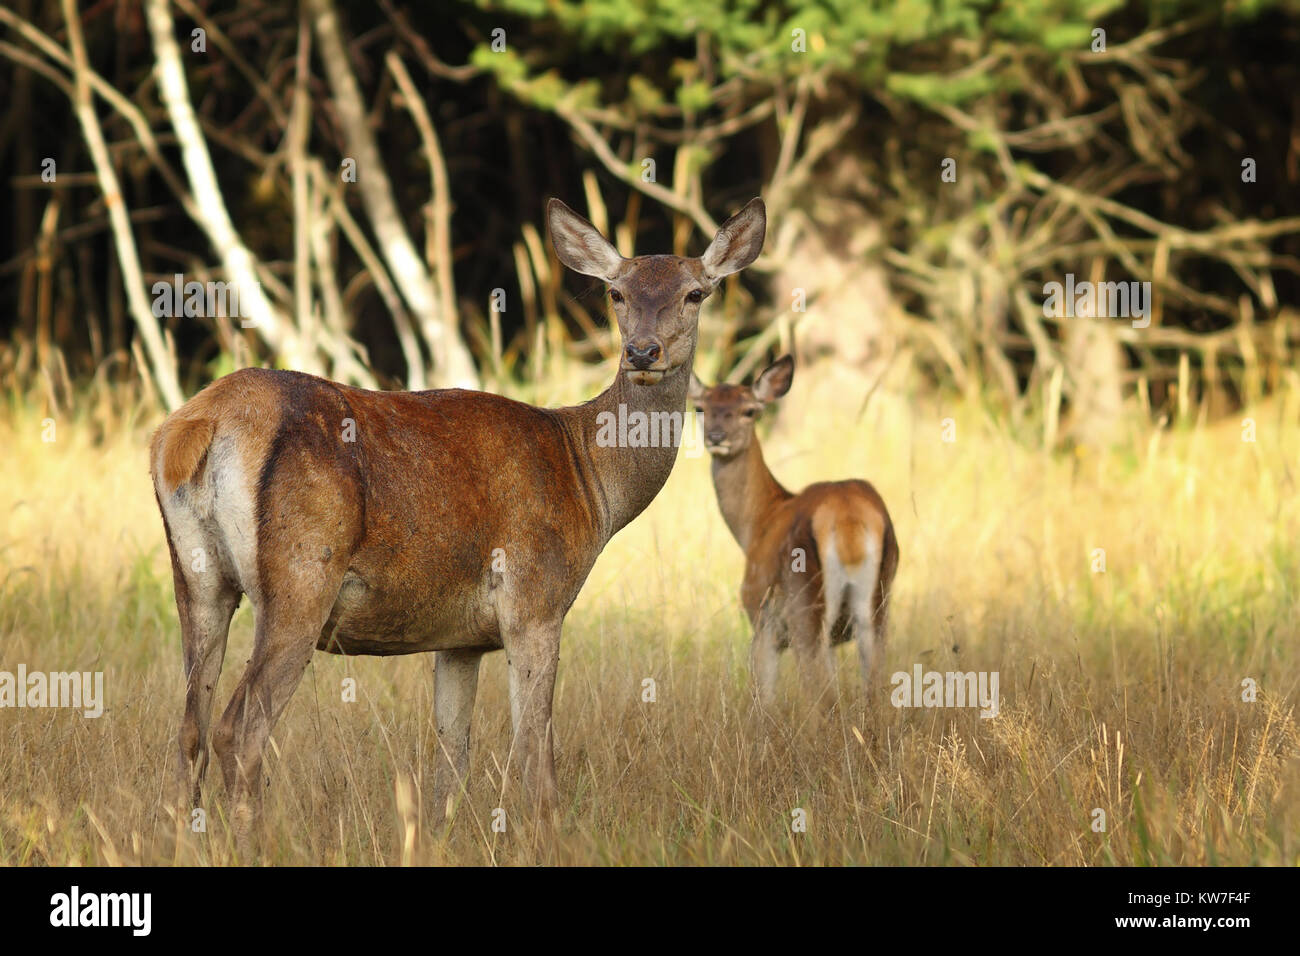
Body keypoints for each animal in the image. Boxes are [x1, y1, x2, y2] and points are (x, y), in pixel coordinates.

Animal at [150, 196, 767, 839]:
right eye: (615, 293)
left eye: (696, 292)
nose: (643, 352)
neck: (590, 483)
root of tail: (198, 426)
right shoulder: (535, 599)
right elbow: (535, 757)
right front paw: (545, 836)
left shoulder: (459, 640)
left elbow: (451, 761)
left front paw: (435, 838)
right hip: (301, 577)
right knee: (238, 728)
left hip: (197, 578)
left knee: (189, 728)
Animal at [688, 355, 898, 707]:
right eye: (701, 408)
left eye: (750, 410)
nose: (717, 436)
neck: (757, 525)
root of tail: (848, 521)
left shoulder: (760, 619)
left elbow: (764, 699)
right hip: (877, 602)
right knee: (875, 688)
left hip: (804, 604)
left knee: (824, 695)